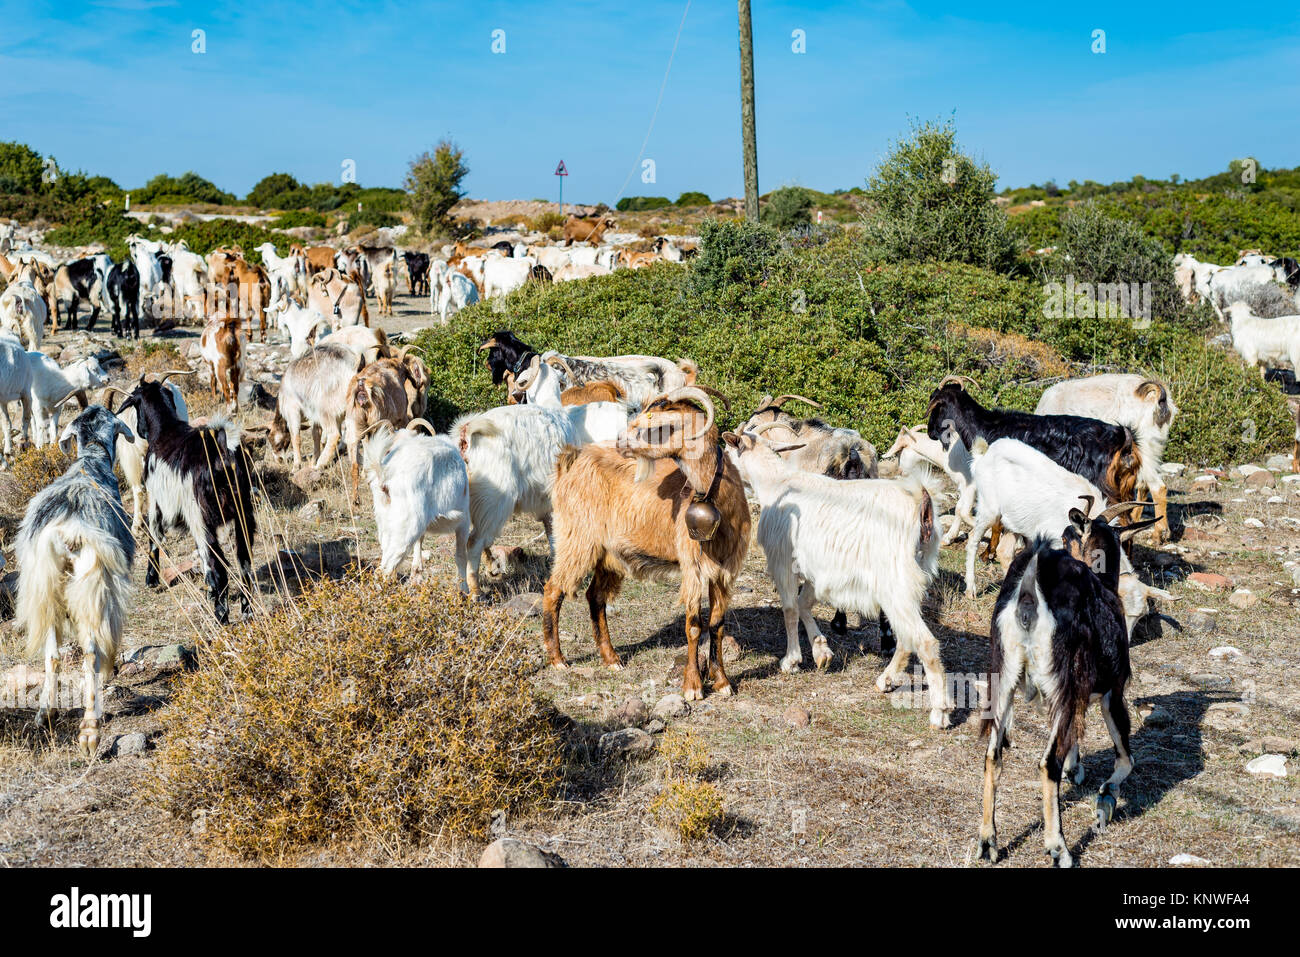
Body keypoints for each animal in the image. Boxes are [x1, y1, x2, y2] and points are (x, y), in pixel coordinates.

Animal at [16, 405, 136, 756]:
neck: (90, 461)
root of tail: (69, 529)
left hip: (44, 586)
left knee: (52, 653)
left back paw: (45, 714)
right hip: (94, 583)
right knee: (91, 652)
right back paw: (90, 731)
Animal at [110, 372, 256, 624]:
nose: (140, 431)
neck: (166, 430)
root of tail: (222, 450)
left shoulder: (156, 499)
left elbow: (154, 535)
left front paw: (151, 578)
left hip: (200, 518)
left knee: (219, 567)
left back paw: (221, 617)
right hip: (242, 512)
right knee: (243, 561)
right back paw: (246, 612)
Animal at [363, 420, 470, 588]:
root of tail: (385, 476)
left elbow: (420, 542)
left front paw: (416, 575)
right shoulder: (464, 521)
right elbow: (461, 557)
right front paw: (465, 591)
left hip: (385, 521)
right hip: (408, 525)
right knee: (384, 569)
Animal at [543, 387, 750, 700]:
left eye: (661, 427)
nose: (621, 442)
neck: (719, 498)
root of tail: (571, 461)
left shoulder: (725, 571)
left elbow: (717, 625)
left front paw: (723, 682)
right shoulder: (693, 566)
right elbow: (693, 625)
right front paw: (693, 687)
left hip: (607, 553)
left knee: (595, 597)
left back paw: (611, 659)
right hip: (576, 539)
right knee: (554, 590)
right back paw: (557, 659)